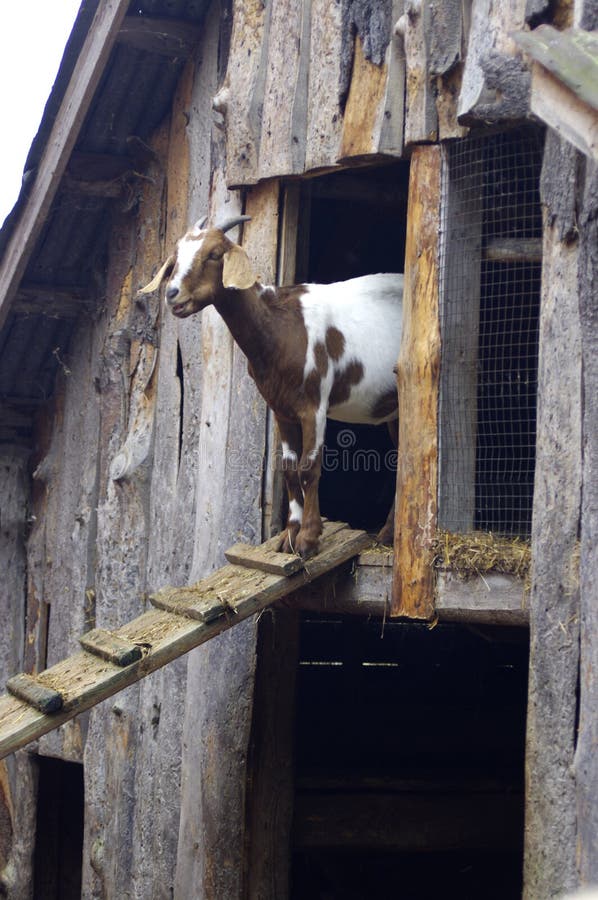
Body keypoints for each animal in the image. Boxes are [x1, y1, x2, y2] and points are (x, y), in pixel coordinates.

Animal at [140, 216, 403, 558]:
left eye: (214, 254)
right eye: (175, 256)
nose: (173, 294)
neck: (281, 326)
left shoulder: (314, 405)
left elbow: (309, 467)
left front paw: (308, 538)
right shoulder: (282, 408)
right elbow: (289, 468)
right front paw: (288, 537)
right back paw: (387, 534)